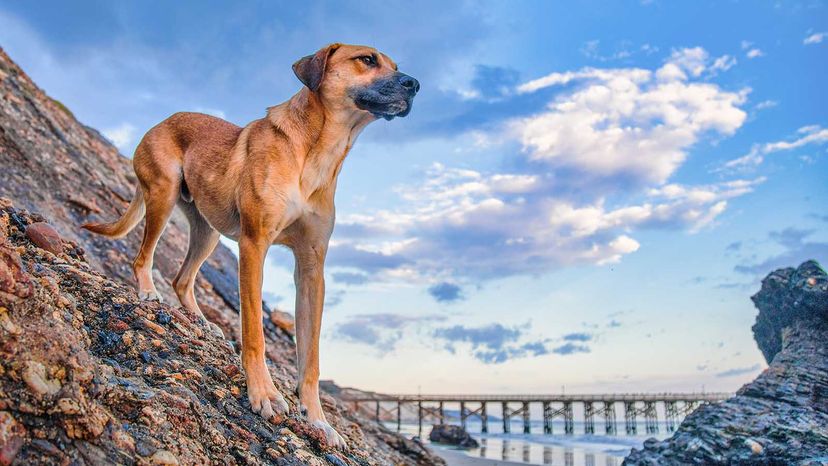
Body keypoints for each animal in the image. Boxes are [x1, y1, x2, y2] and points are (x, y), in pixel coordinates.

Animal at [83, 43, 418, 448]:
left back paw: (201, 320)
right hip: (163, 194)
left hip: (207, 231)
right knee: (141, 256)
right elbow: (255, 333)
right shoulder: (254, 245)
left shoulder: (312, 270)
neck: (318, 151)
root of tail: (163, 120)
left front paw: (318, 420)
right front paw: (264, 394)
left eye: (396, 65)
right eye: (367, 59)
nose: (415, 85)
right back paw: (148, 292)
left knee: (182, 278)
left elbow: (311, 359)